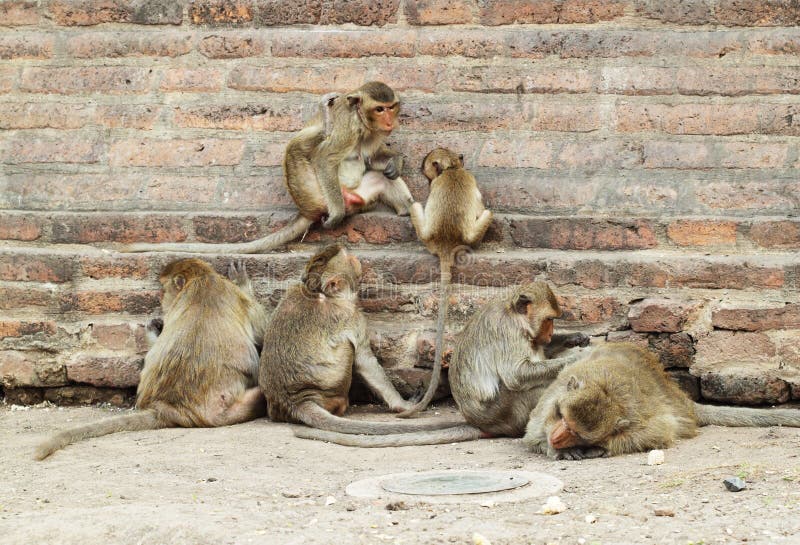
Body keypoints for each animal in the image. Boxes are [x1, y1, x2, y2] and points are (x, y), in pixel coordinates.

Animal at [34, 259, 269, 460]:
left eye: (163, 290)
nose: (161, 299)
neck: (201, 278)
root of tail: (170, 408)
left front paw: (155, 328)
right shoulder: (233, 293)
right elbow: (262, 332)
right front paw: (242, 281)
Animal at [121, 82, 415, 254]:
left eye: (391, 107)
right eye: (379, 109)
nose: (390, 120)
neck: (364, 122)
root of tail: (306, 210)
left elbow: (374, 158)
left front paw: (396, 160)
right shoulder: (349, 126)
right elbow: (325, 158)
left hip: (359, 197)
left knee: (383, 180)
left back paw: (408, 212)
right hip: (311, 190)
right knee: (299, 148)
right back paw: (325, 121)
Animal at [259, 244, 464, 435]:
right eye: (349, 259)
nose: (356, 259)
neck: (322, 293)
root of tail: (296, 401)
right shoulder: (353, 317)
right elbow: (365, 361)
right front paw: (403, 405)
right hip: (333, 391)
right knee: (348, 350)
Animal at [292, 281, 590, 446]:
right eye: (549, 319)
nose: (550, 333)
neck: (513, 314)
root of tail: (482, 423)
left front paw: (574, 338)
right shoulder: (509, 332)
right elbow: (517, 375)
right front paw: (573, 358)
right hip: (509, 410)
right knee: (527, 388)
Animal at [523, 342, 800, 460]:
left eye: (576, 433)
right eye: (560, 415)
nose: (557, 437)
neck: (605, 387)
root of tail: (680, 397)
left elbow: (660, 431)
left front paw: (597, 448)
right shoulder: (547, 404)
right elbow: (531, 436)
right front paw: (554, 449)